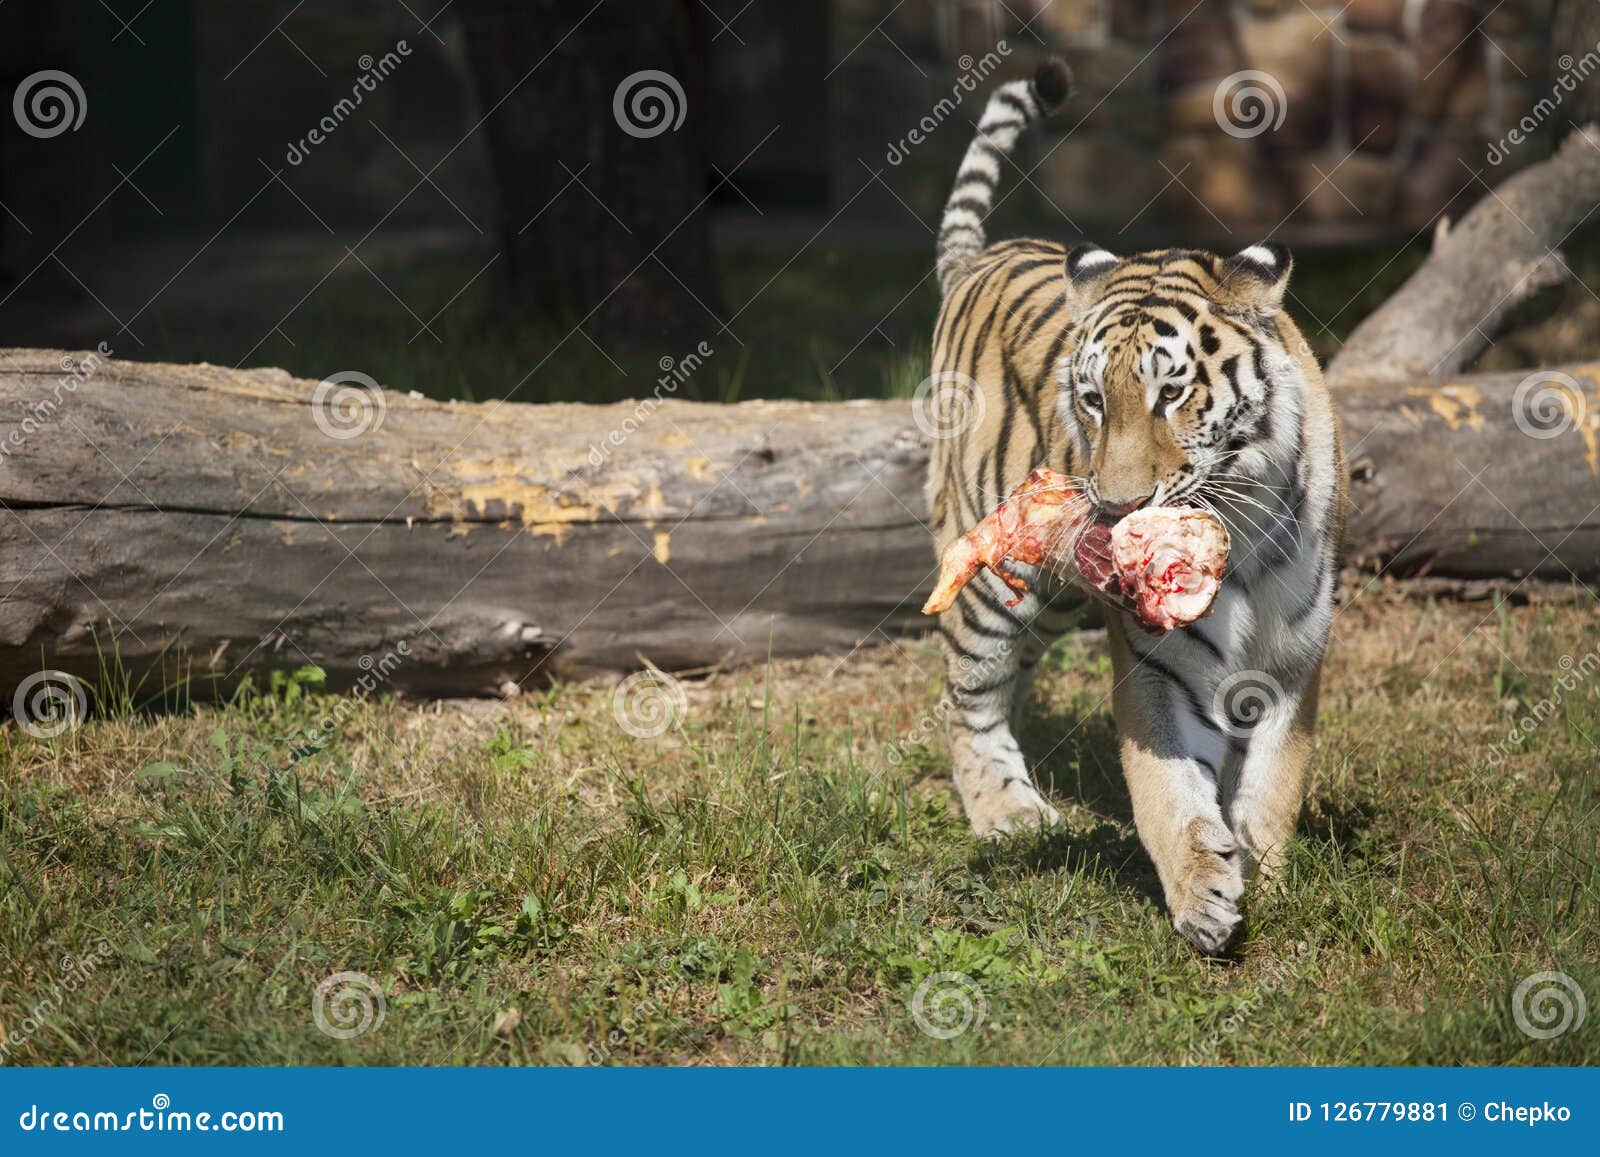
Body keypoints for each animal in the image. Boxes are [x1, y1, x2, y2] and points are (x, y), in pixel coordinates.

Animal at [925, 58, 1346, 954]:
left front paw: (1266, 875)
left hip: (1052, 597)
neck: (1238, 536)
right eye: (1092, 400)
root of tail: (981, 257)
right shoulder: (1155, 666)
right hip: (998, 580)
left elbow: (1273, 788)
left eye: (1172, 393)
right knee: (969, 695)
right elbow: (1169, 792)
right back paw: (1007, 813)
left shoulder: (1293, 664)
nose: (1118, 505)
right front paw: (1202, 897)